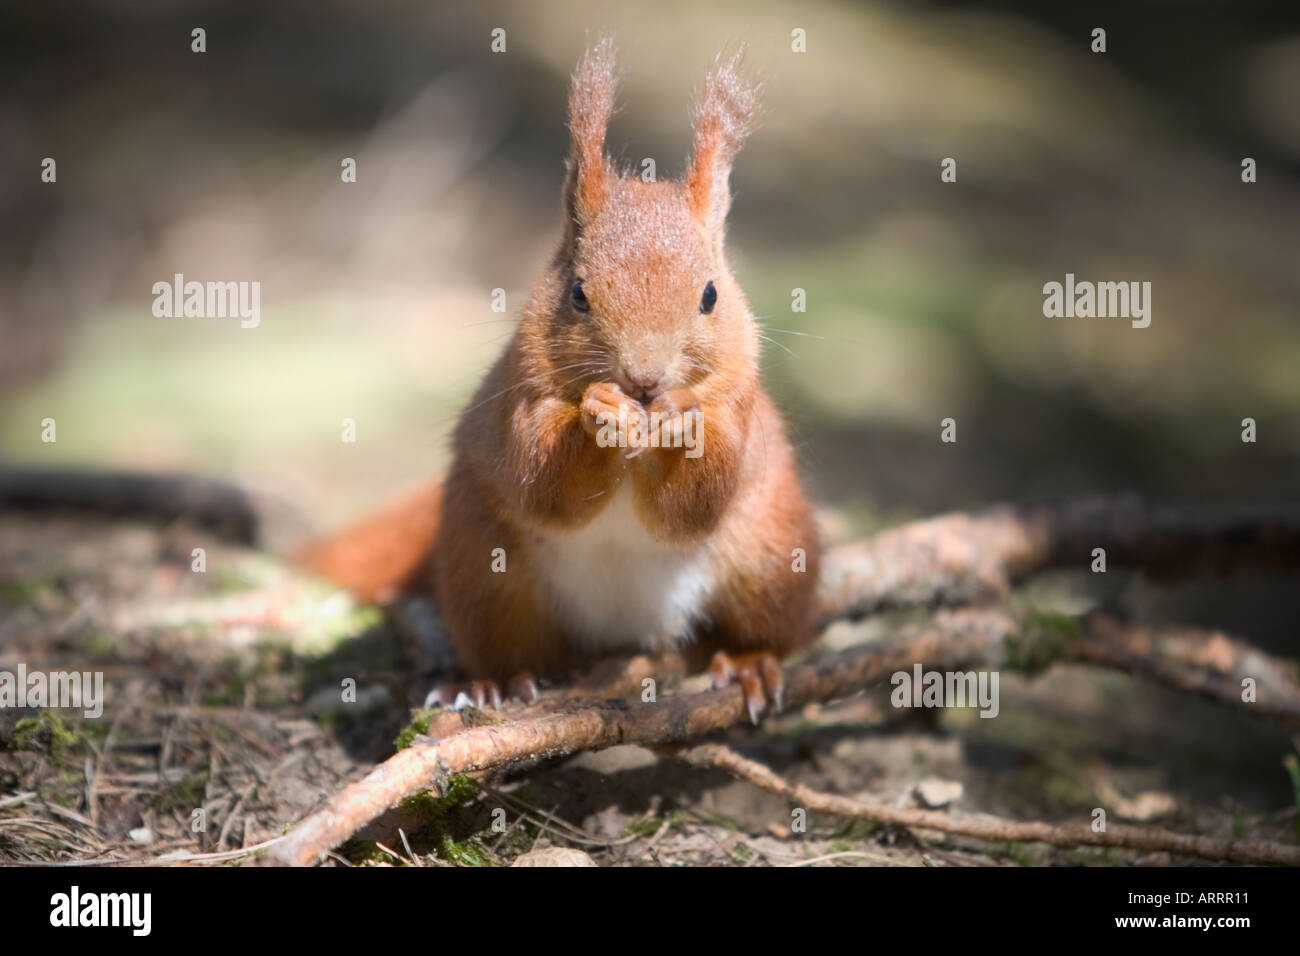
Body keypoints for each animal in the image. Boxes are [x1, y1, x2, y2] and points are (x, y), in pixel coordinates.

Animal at [2, 42, 821, 722]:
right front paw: (595, 414)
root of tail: (626, 630)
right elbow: (540, 476)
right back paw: (491, 682)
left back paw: (749, 663)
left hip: (767, 554)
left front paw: (679, 418)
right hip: (484, 567)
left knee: (761, 627)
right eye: (578, 294)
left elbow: (700, 495)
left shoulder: (742, 412)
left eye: (711, 294)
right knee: (511, 643)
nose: (645, 381)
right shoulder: (513, 403)